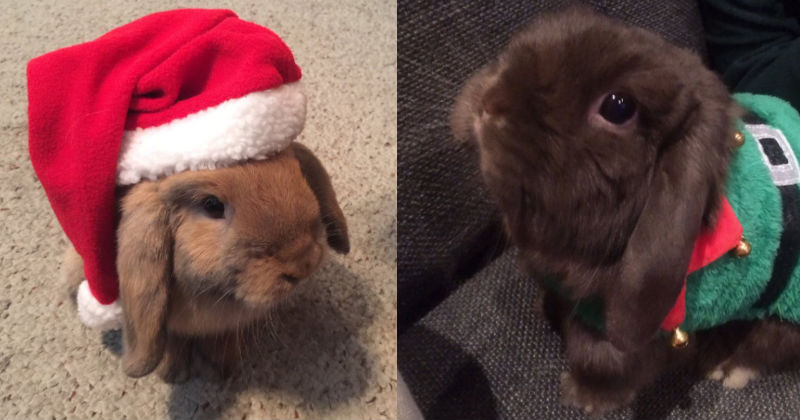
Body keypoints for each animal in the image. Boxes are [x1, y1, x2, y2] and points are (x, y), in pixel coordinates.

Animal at [62, 143, 349, 382]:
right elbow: (170, 337)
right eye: (212, 205)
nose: (304, 262)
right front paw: (173, 372)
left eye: (295, 170)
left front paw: (224, 365)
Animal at [452, 6, 800, 415]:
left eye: (618, 107)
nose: (488, 104)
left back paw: (729, 366)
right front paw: (546, 310)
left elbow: (602, 360)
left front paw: (584, 397)